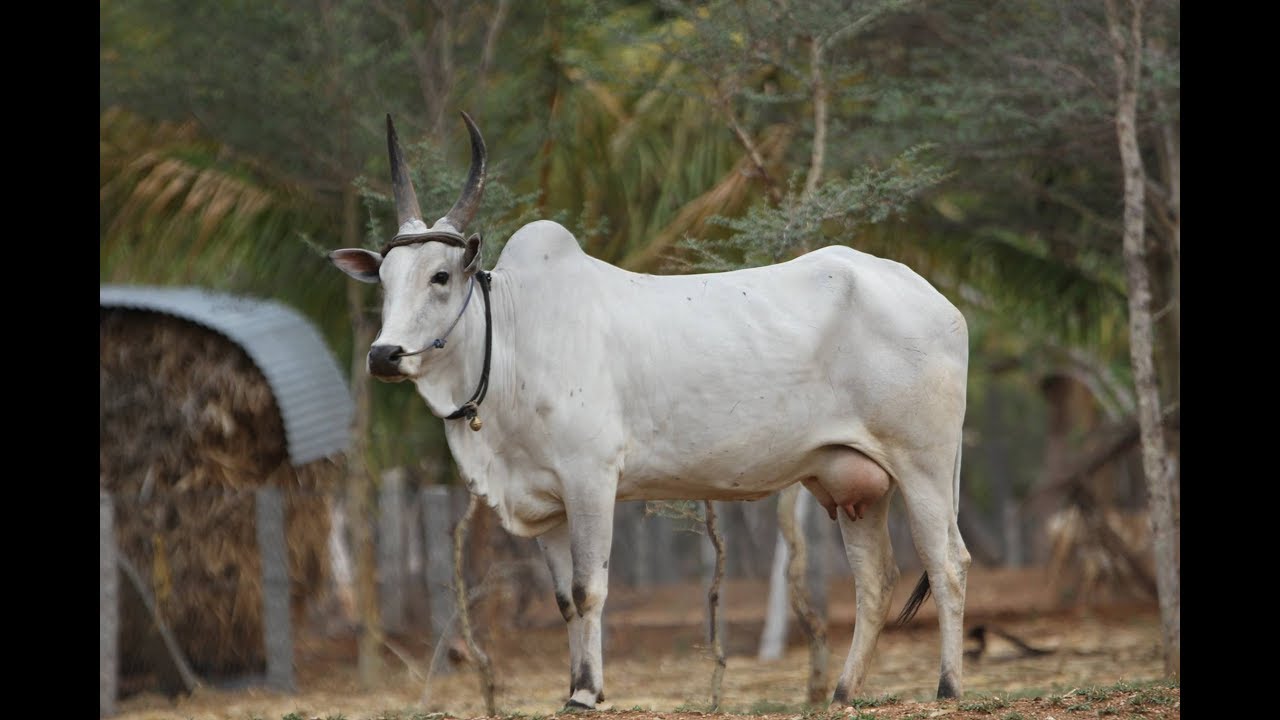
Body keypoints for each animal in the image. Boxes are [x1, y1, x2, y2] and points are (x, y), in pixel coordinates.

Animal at [329, 112, 972, 709]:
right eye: (383, 280)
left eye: (440, 275)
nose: (384, 354)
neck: (509, 336)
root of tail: (933, 298)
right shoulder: (546, 501)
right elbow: (564, 601)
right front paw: (573, 686)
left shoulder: (591, 479)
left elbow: (588, 590)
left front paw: (588, 693)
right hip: (855, 483)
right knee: (876, 580)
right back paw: (841, 692)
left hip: (924, 464)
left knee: (949, 564)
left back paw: (947, 687)